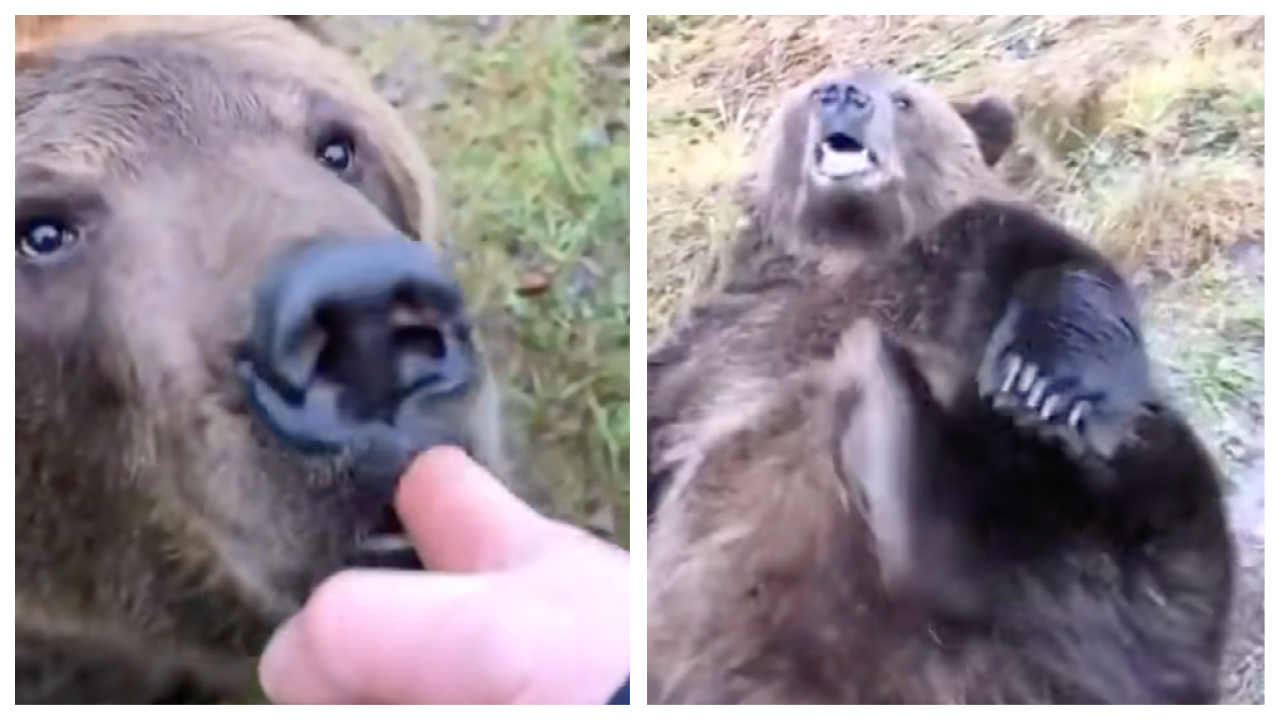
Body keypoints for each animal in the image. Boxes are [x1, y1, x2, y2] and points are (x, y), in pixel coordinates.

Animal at [646, 67, 1235, 704]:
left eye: (903, 98)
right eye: (811, 90)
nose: (844, 94)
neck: (848, 249)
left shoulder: (966, 251)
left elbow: (1062, 275)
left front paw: (1045, 386)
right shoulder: (723, 335)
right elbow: (662, 413)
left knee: (1134, 494)